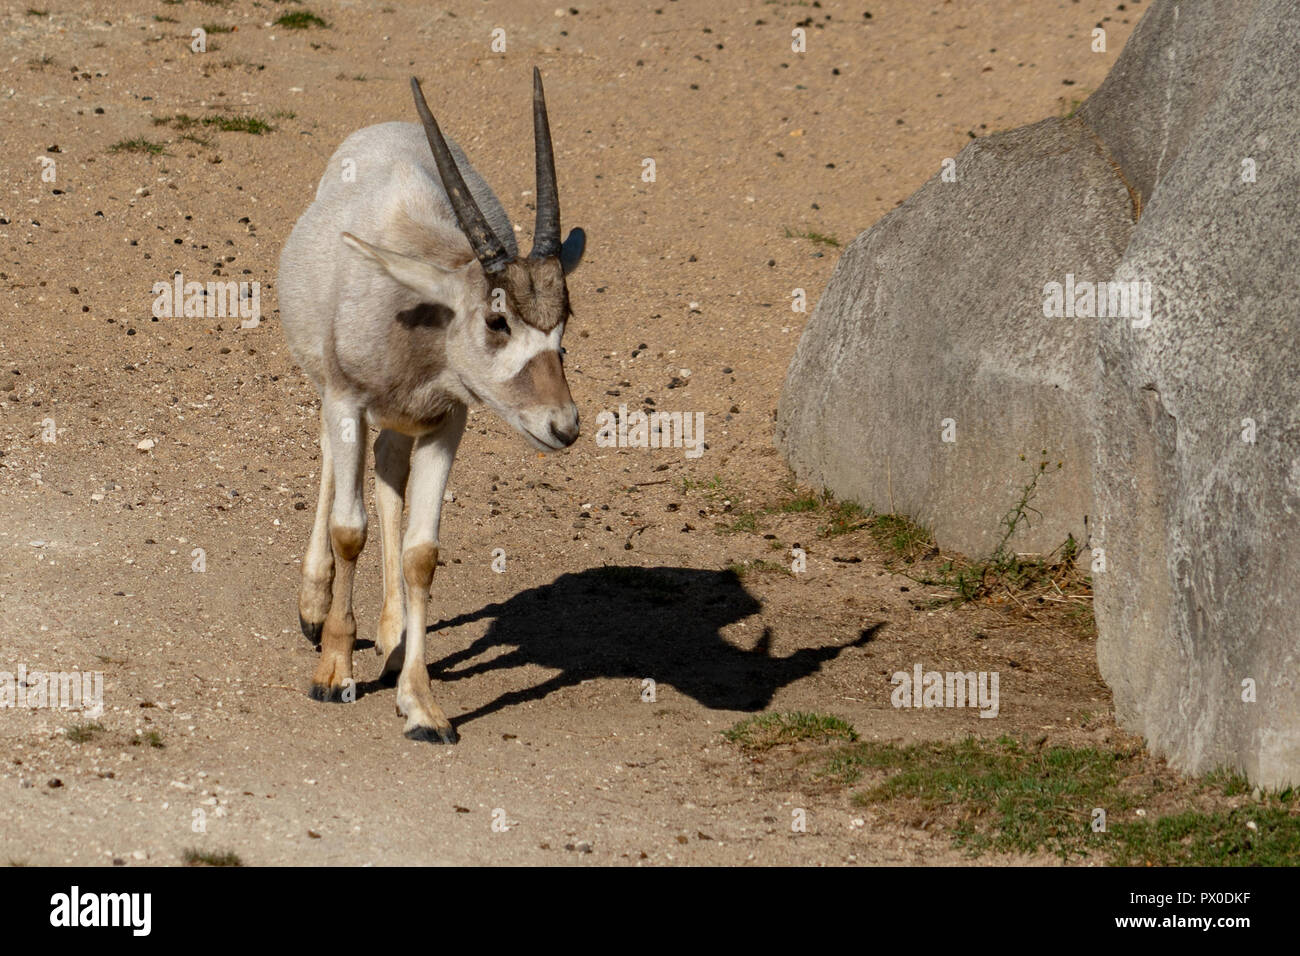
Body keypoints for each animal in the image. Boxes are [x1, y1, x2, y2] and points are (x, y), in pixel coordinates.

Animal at [277, 69, 585, 743]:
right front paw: (333, 669)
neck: (418, 307)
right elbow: (349, 529)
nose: (564, 426)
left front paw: (419, 704)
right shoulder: (346, 400)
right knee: (332, 460)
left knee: (390, 470)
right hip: (332, 393)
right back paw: (314, 608)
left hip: (403, 420)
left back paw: (392, 637)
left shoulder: (450, 419)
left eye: (564, 322)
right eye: (497, 320)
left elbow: (421, 554)